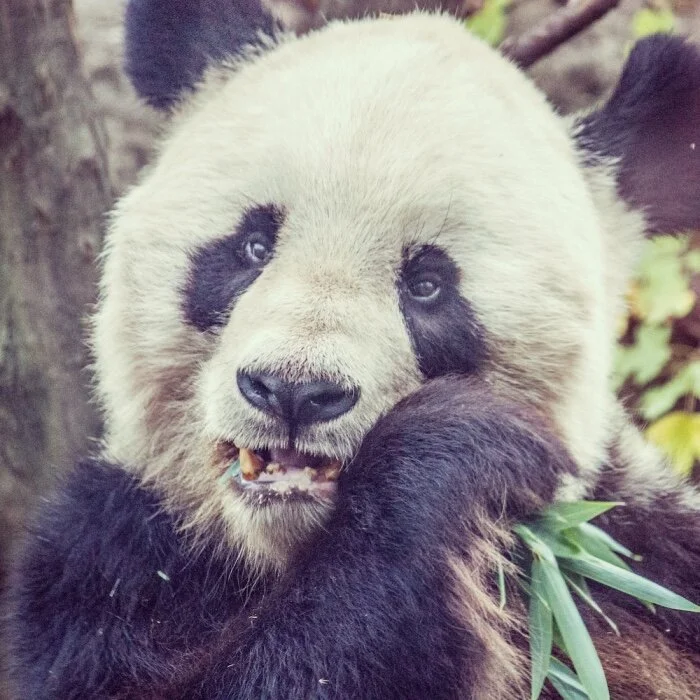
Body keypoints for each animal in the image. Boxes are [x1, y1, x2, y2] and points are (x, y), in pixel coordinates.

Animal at [8, 1, 700, 698]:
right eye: (252, 246)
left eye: (427, 284)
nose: (293, 390)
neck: (276, 550)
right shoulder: (107, 563)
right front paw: (456, 444)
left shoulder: (647, 553)